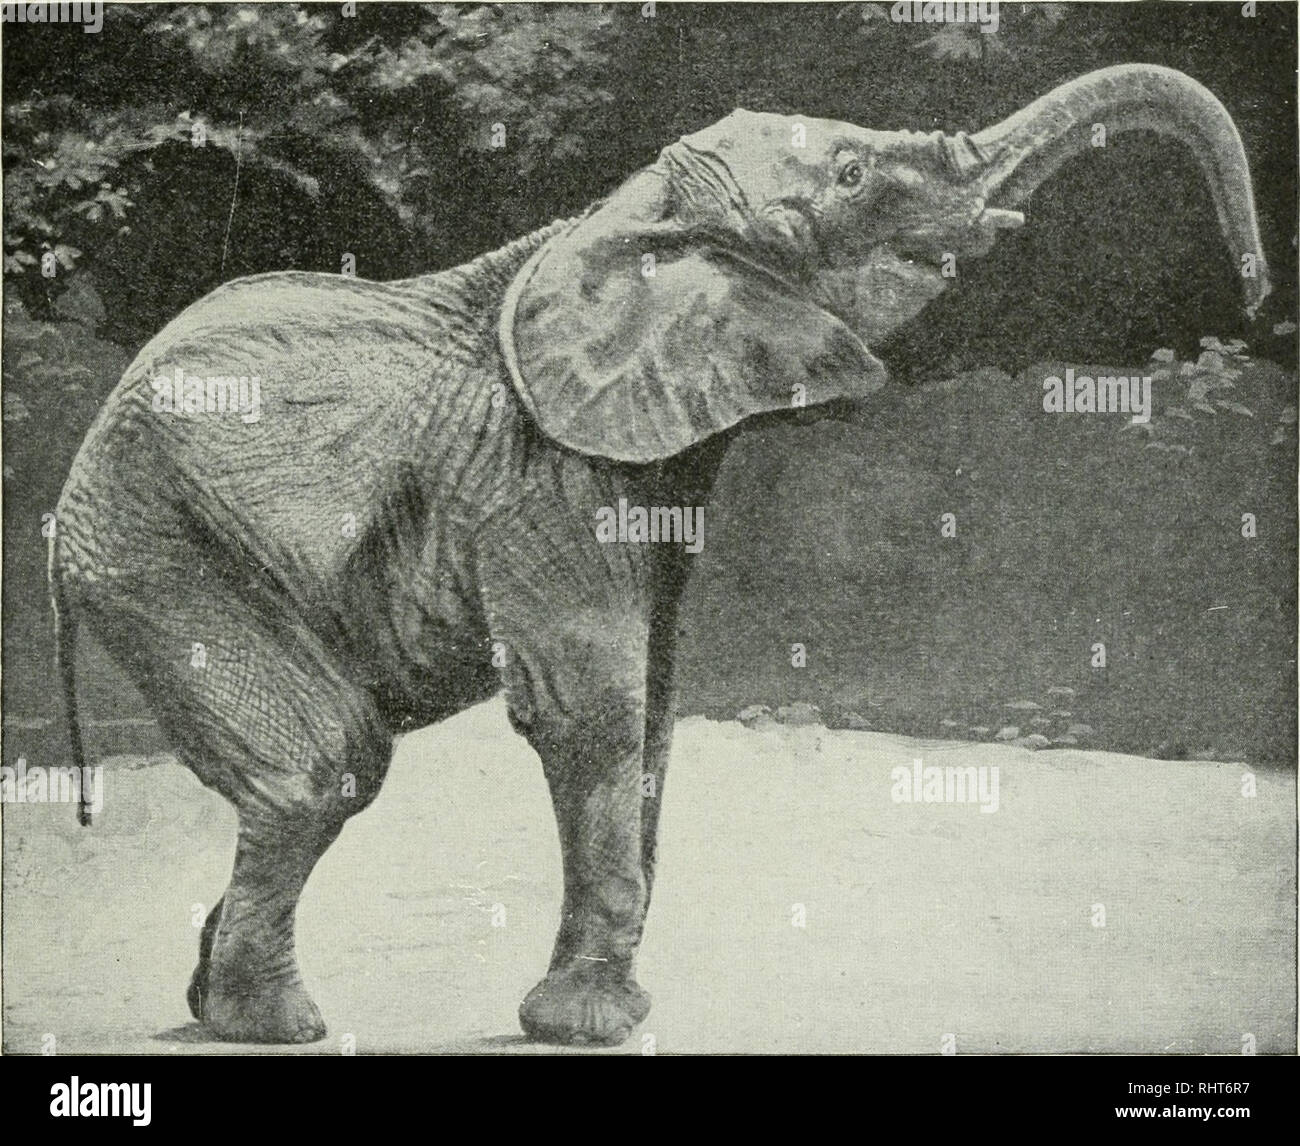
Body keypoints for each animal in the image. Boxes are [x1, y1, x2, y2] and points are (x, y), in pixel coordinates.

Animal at [51, 64, 1268, 1047]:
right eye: (849, 178)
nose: (1255, 287)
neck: (624, 210)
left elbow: (654, 698)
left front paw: (613, 1015)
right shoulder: (541, 477)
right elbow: (592, 706)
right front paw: (583, 1030)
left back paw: (210, 1000)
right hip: (162, 548)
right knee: (325, 765)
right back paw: (274, 1027)